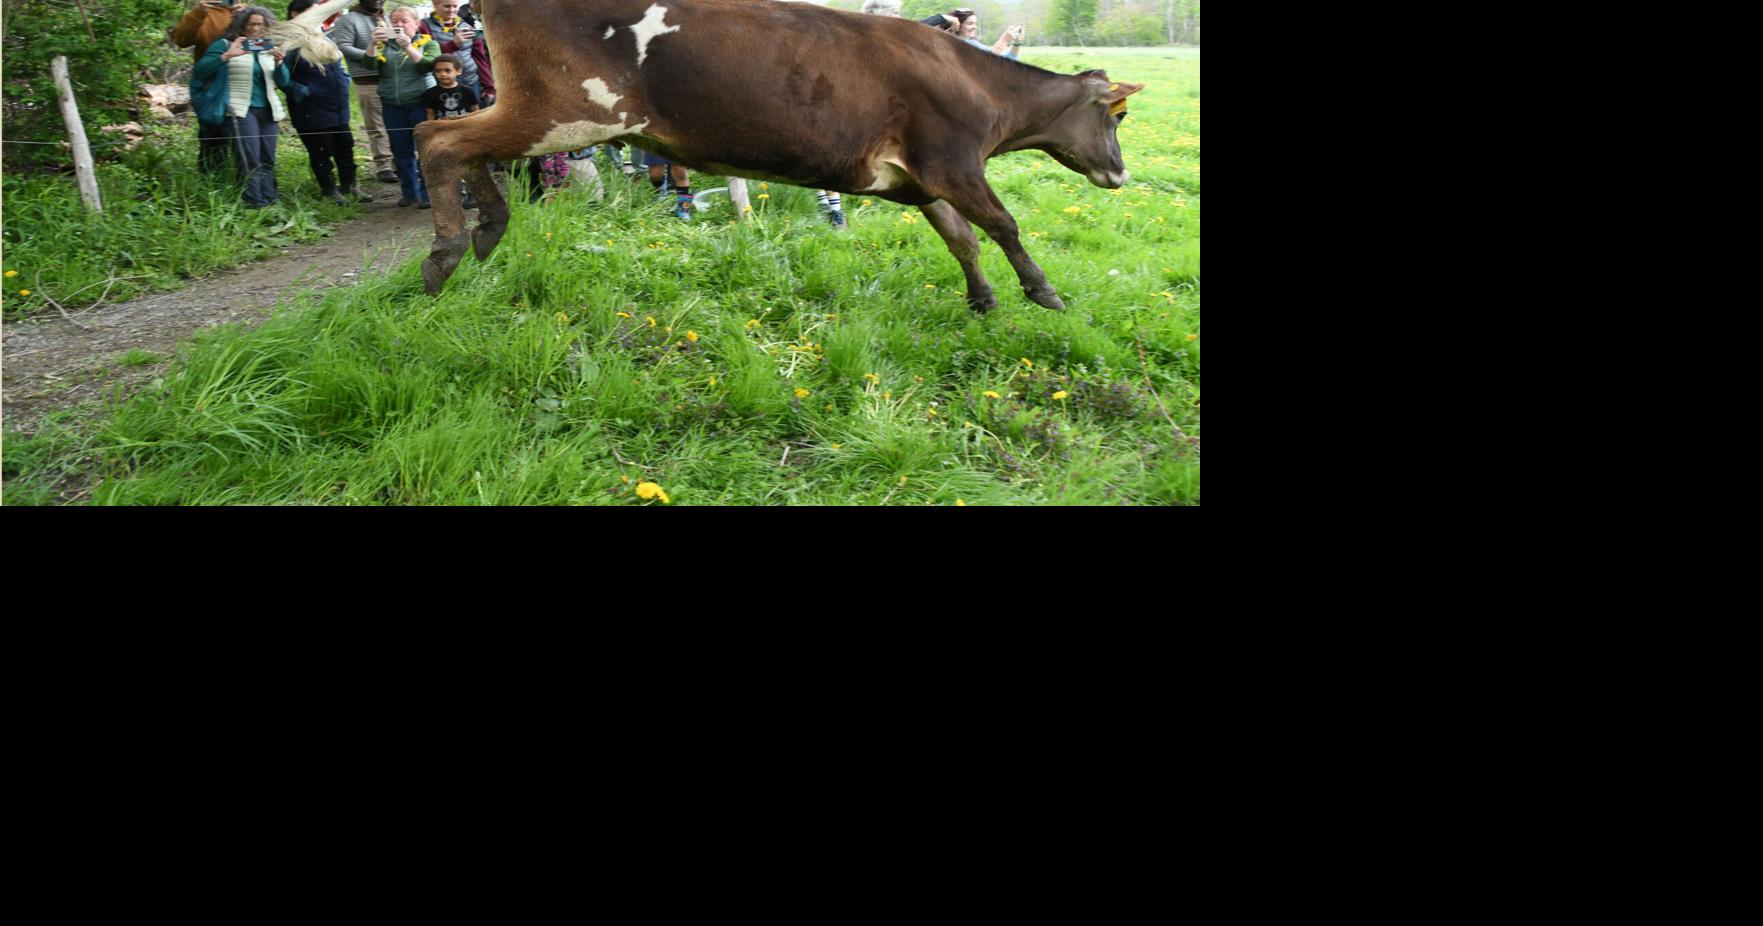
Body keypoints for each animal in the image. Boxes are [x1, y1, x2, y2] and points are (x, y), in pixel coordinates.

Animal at [414, 0, 1144, 312]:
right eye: (1118, 116)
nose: (1119, 173)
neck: (975, 83)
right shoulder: (955, 163)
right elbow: (1003, 225)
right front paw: (1041, 290)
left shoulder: (922, 180)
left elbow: (961, 239)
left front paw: (984, 298)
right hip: (563, 112)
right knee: (436, 138)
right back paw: (449, 251)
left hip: (550, 114)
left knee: (446, 138)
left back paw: (484, 231)